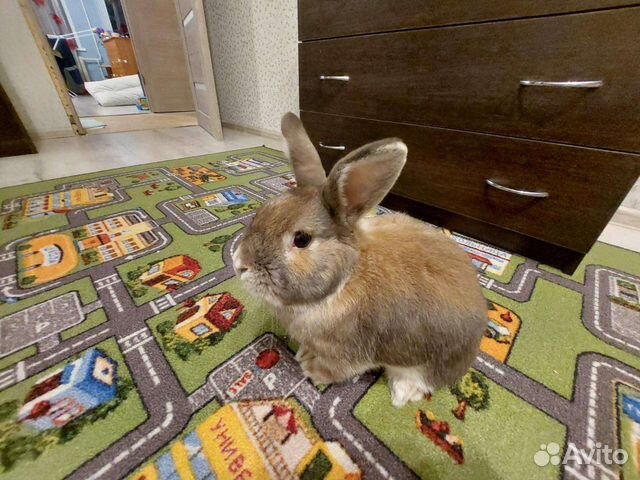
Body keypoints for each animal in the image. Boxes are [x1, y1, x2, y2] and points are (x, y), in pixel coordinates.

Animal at [232, 112, 487, 407]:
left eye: (302, 239)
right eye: (262, 211)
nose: (239, 263)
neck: (343, 282)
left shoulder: (351, 353)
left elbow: (335, 370)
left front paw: (310, 369)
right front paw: (303, 354)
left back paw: (402, 393)